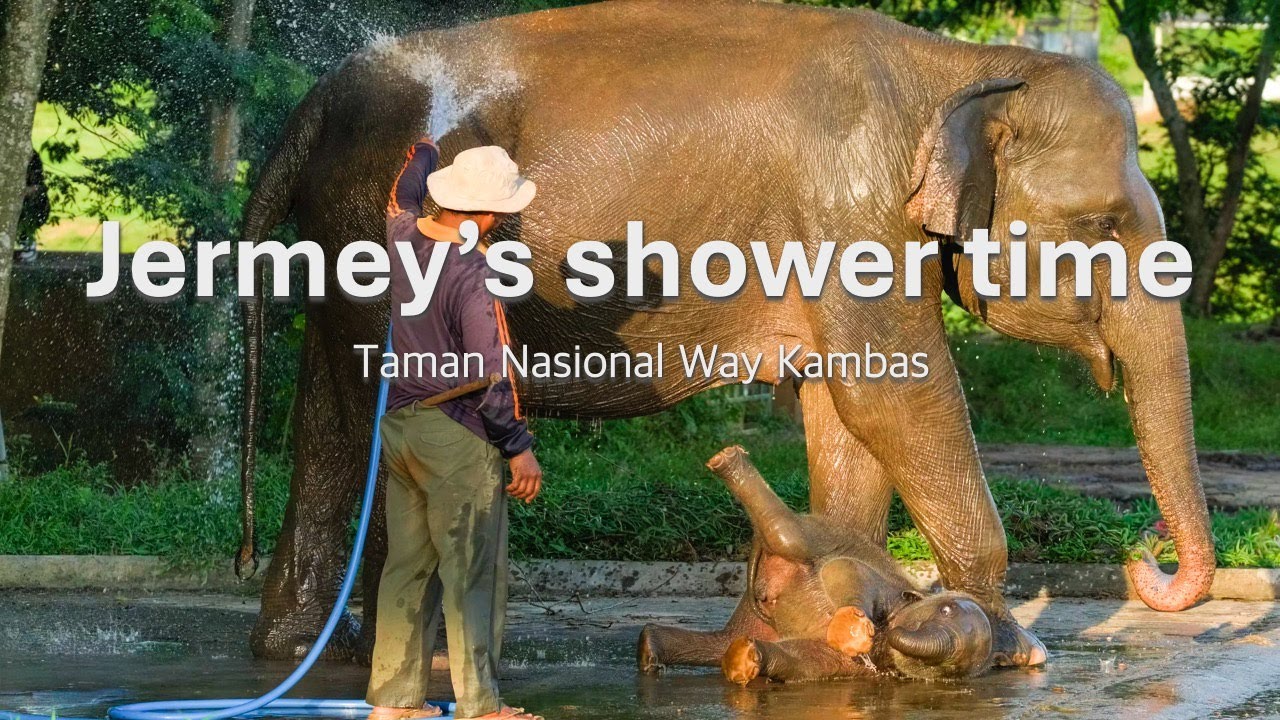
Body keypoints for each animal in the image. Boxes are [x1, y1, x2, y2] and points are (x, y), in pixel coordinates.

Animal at [638, 446, 993, 683]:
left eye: (947, 667)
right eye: (945, 609)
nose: (880, 631)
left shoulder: (848, 667)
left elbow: (804, 661)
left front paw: (745, 661)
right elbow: (843, 569)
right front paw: (854, 629)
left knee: (721, 640)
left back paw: (650, 653)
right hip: (815, 533)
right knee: (788, 533)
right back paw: (729, 459)